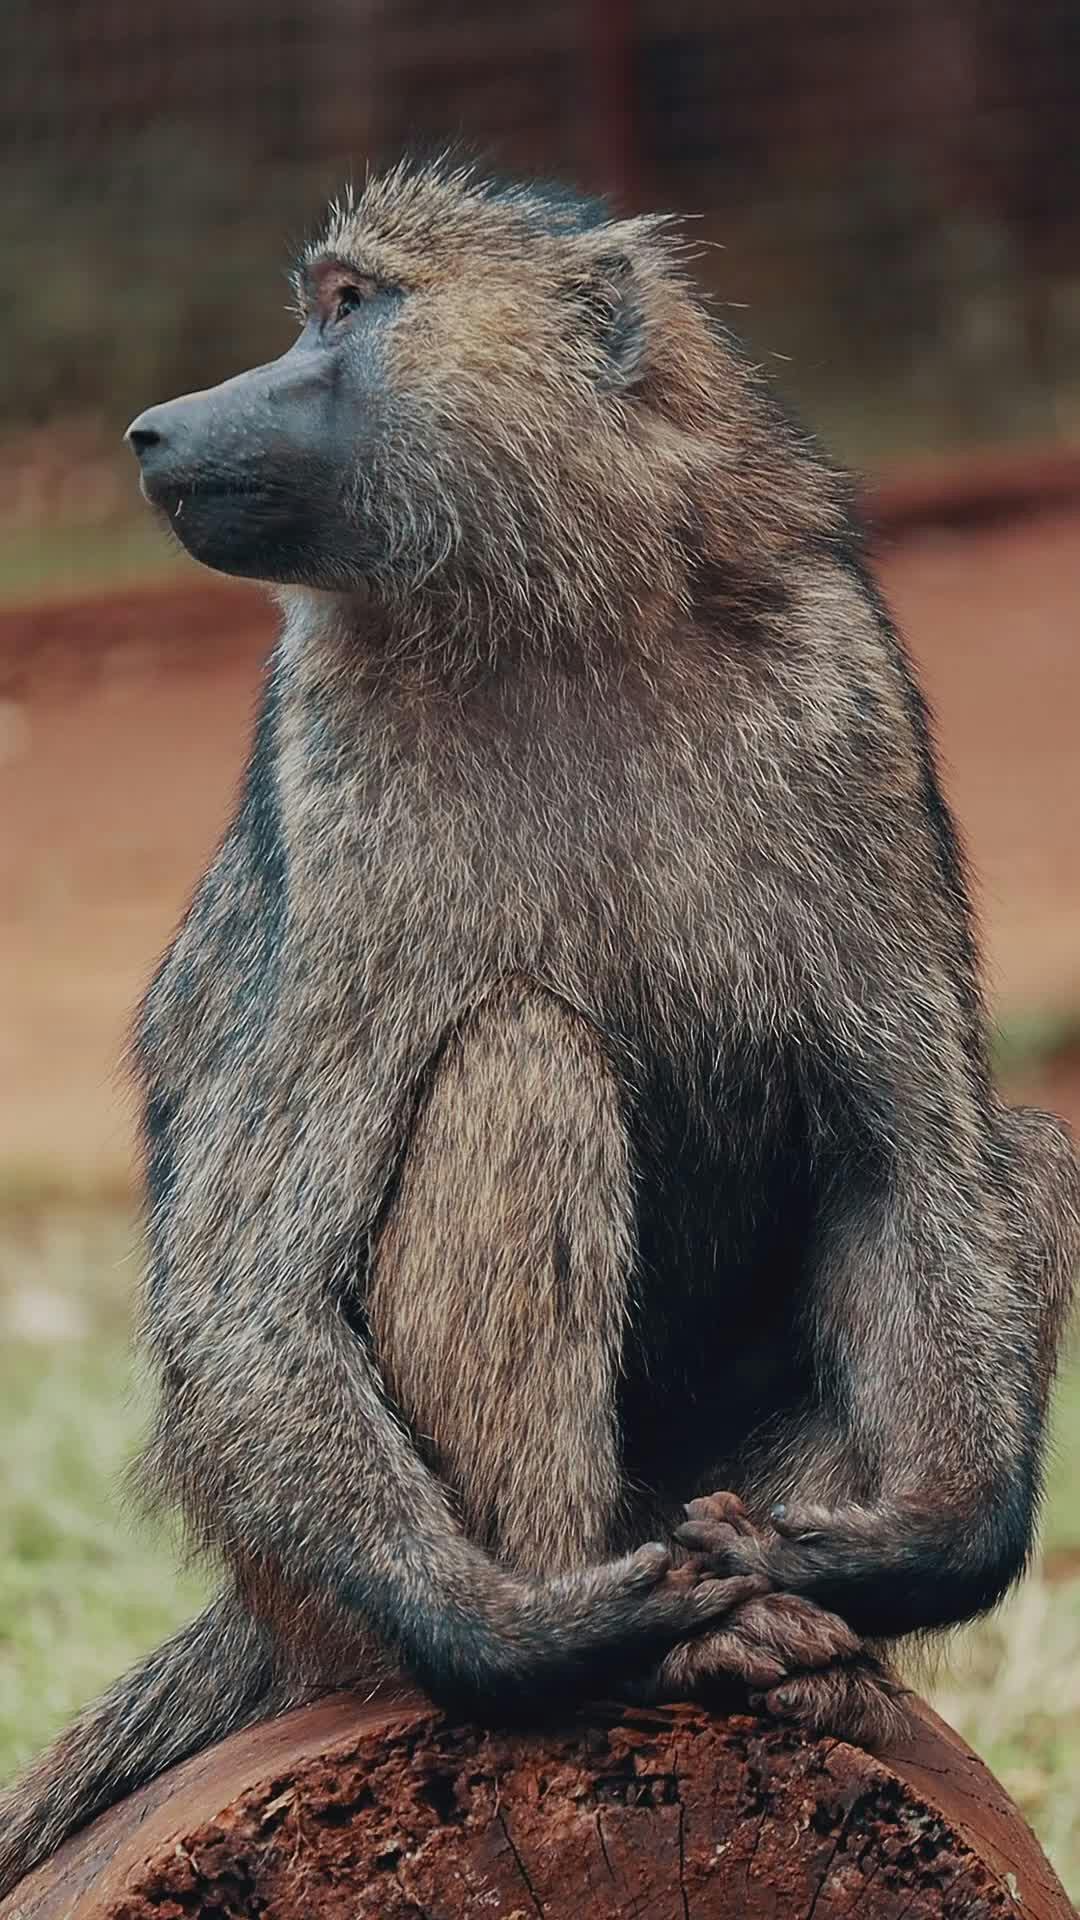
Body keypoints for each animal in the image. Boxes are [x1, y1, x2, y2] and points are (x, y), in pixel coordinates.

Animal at [1, 156, 1076, 1901]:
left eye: (348, 307)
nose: (159, 429)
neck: (561, 608)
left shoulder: (840, 688)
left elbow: (912, 1145)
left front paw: (911, 1552)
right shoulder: (336, 761)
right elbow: (245, 1289)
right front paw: (516, 1638)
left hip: (696, 1478)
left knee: (1021, 1153)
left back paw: (804, 1647)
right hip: (338, 1589)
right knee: (521, 1062)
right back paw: (618, 1636)